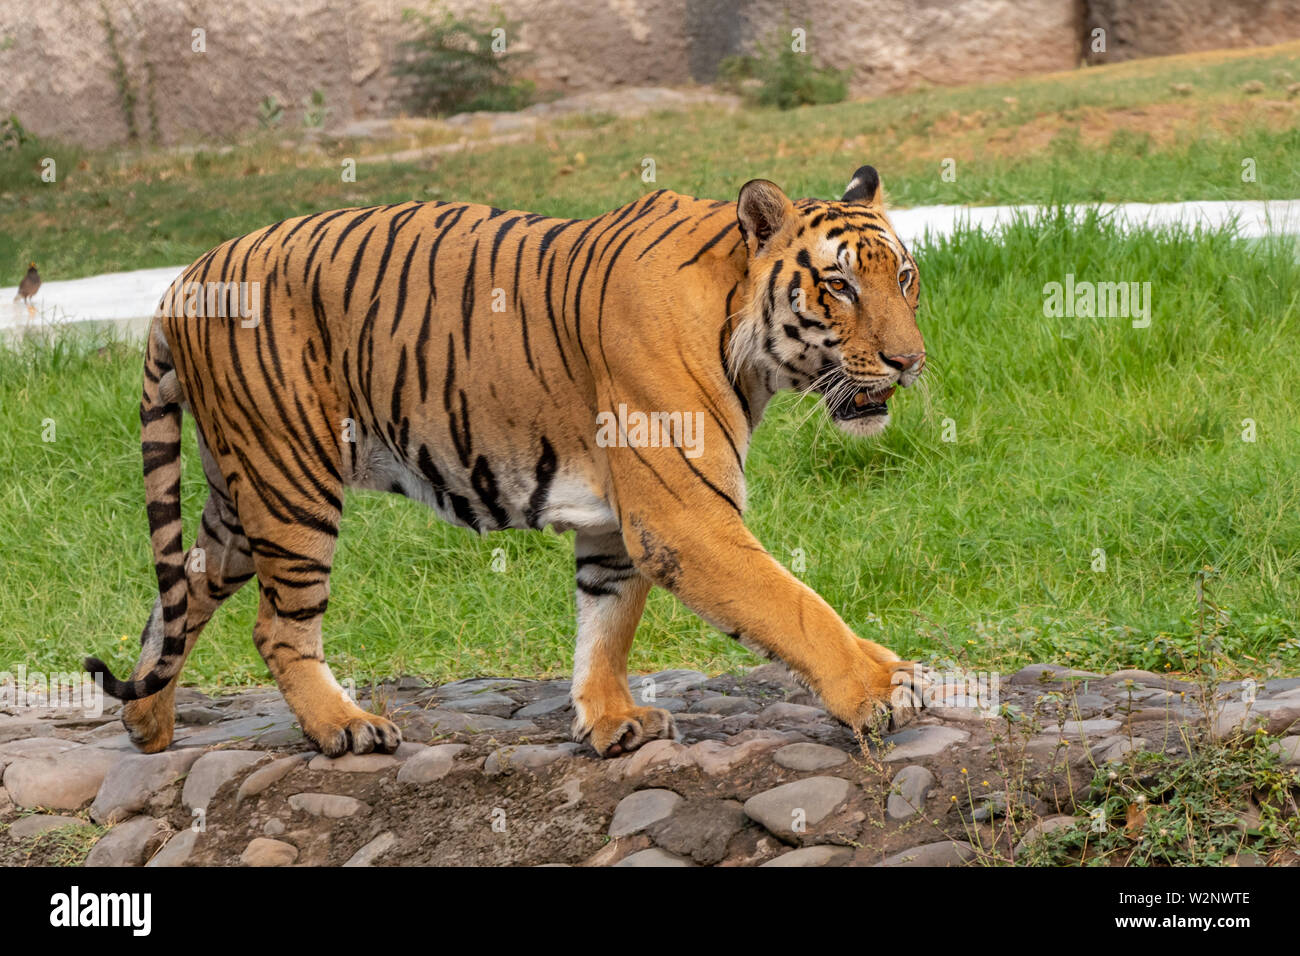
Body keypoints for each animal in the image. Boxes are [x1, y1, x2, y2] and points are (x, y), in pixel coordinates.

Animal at [85, 164, 931, 759]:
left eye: (904, 276)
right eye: (838, 284)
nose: (910, 362)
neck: (740, 333)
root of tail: (184, 277)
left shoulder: (618, 524)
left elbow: (606, 622)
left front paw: (610, 722)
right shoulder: (683, 518)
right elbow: (795, 606)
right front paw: (882, 686)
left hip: (242, 493)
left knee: (181, 594)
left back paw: (146, 724)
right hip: (291, 483)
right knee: (275, 626)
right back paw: (344, 728)